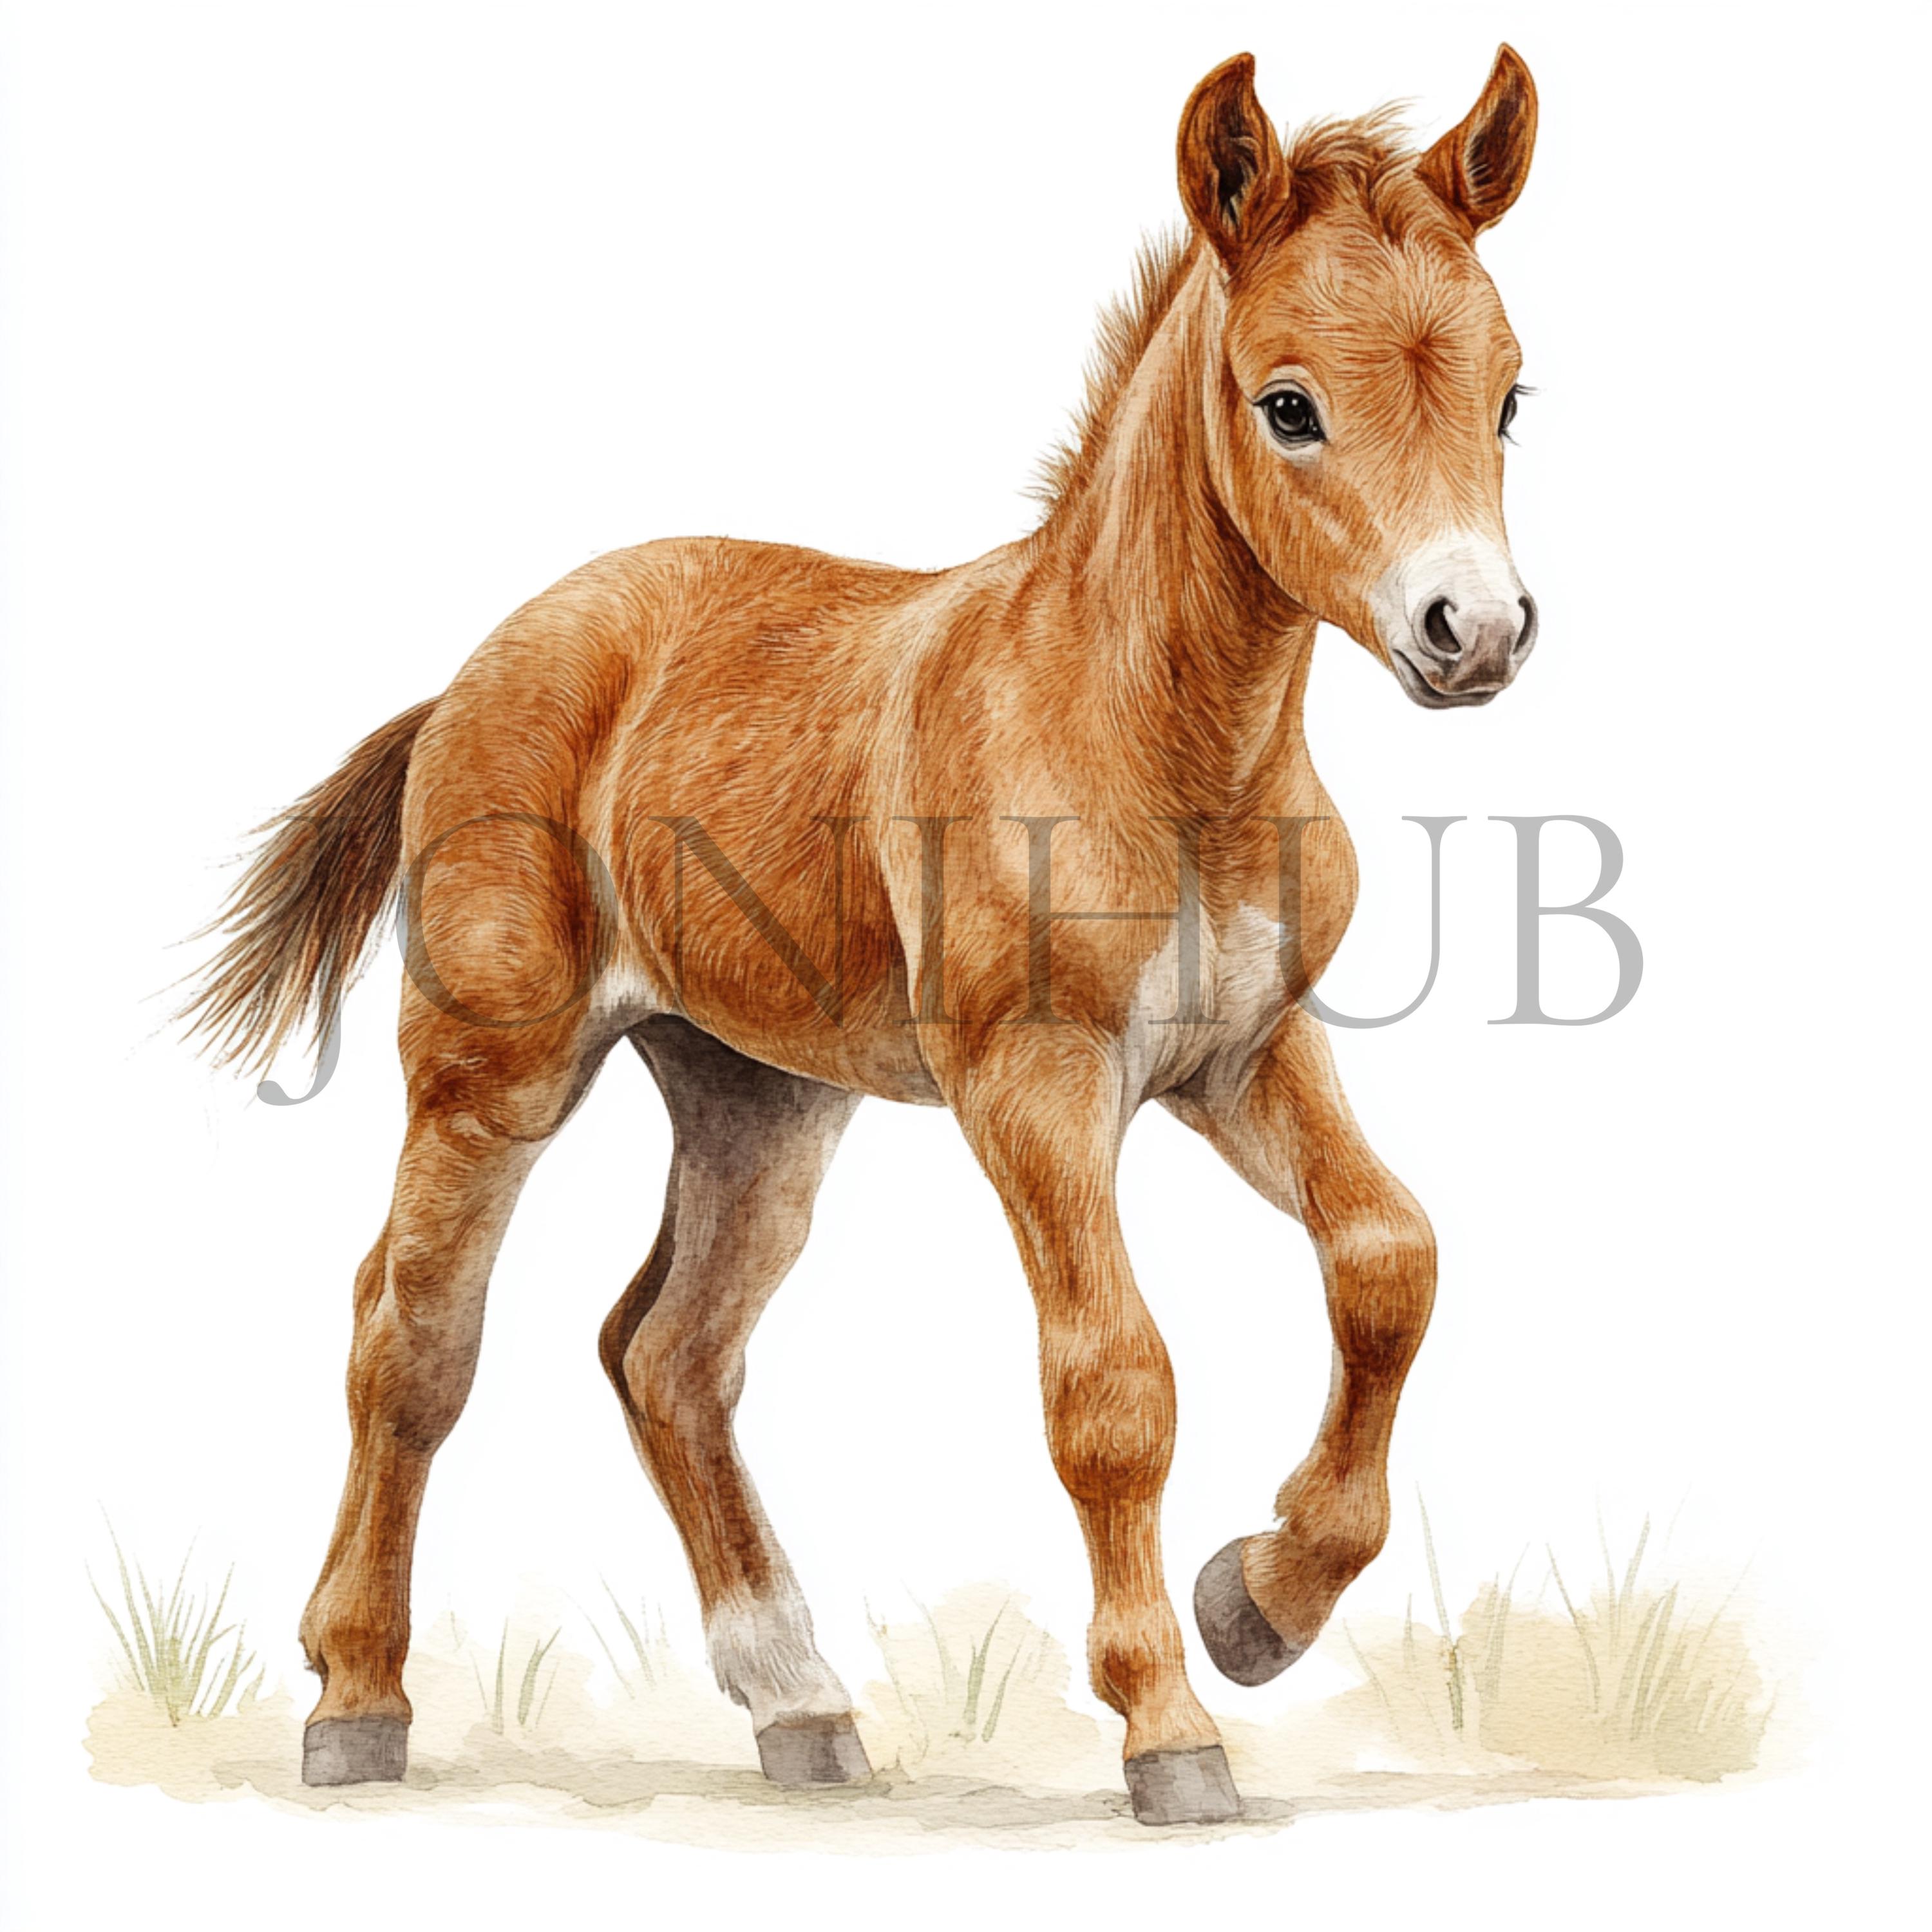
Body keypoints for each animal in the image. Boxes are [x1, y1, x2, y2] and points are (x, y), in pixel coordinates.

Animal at [186, 46, 1540, 1825]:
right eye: (1288, 403)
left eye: (1511, 394)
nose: (1476, 631)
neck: (1155, 733)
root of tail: (486, 664)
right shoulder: (1033, 1085)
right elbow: (1112, 1384)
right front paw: (1173, 1729)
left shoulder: (1244, 1053)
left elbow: (1391, 1258)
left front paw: (1259, 1603)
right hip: (492, 1070)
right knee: (409, 1332)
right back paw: (355, 1699)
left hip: (758, 1096)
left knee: (667, 1350)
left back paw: (801, 1705)